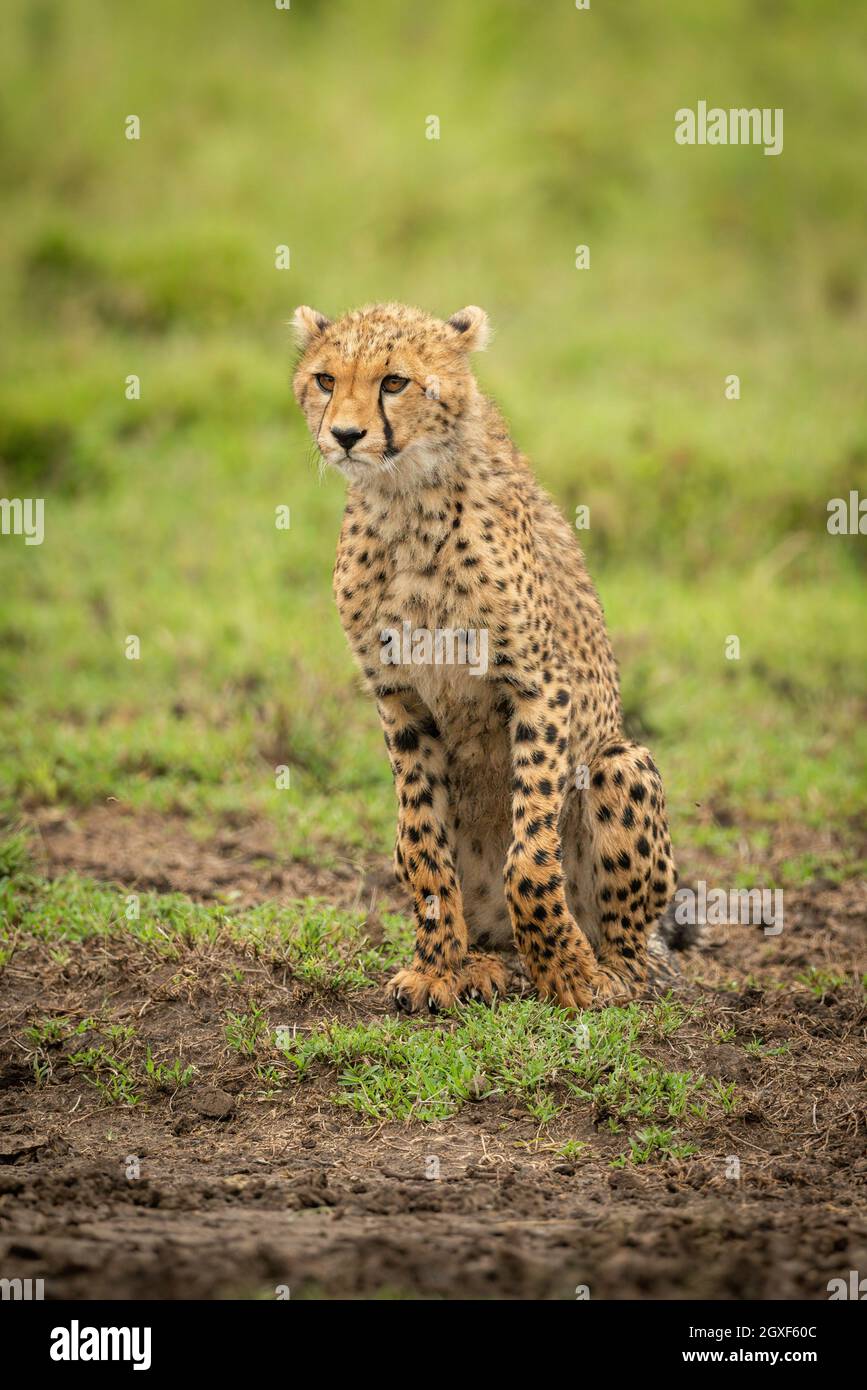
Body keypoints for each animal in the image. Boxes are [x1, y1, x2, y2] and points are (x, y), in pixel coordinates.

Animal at [292, 300, 677, 1013]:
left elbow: (528, 857)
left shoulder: (539, 684)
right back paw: (481, 964)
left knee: (636, 949)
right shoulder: (398, 695)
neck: (404, 498)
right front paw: (436, 969)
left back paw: (608, 970)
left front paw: (570, 975)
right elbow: (424, 847)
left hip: (620, 762)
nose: (347, 435)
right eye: (326, 379)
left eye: (394, 382)